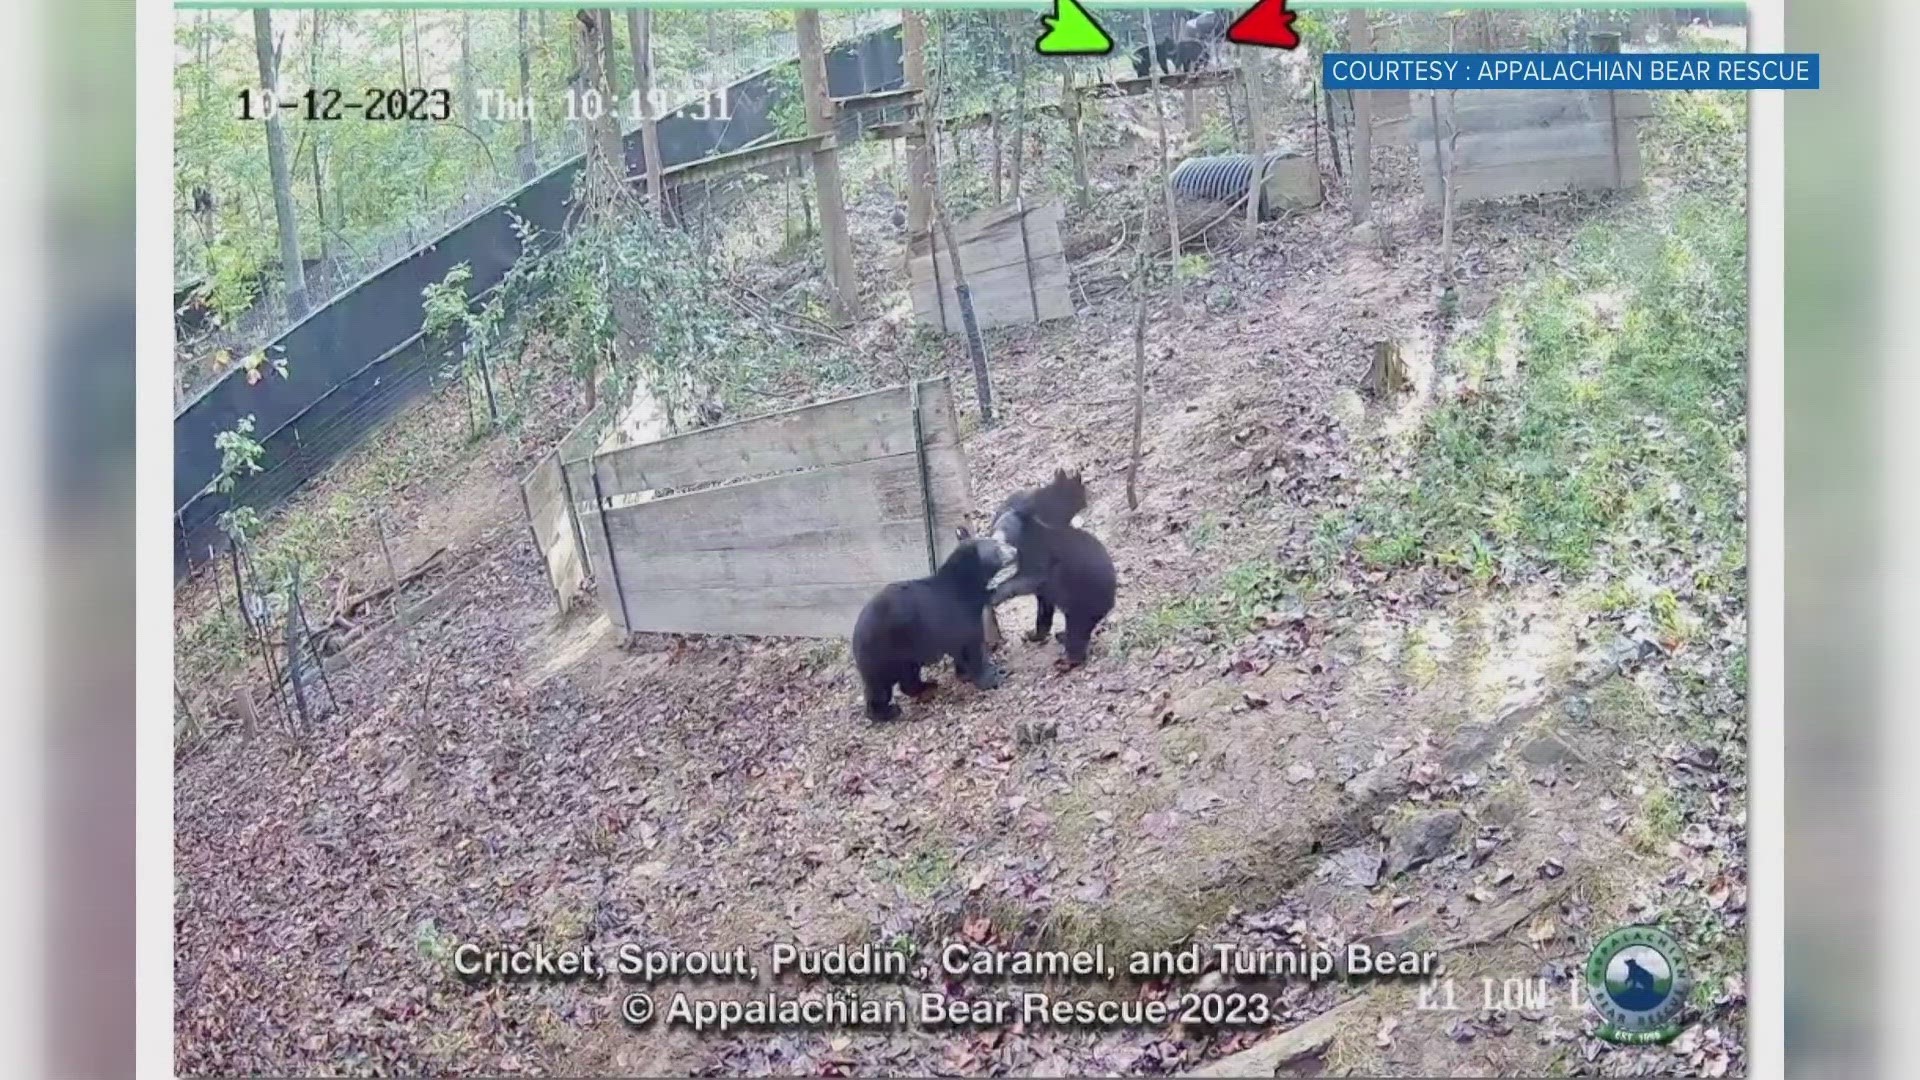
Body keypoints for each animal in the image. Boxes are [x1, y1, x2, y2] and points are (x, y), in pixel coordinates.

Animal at [851, 526, 1016, 721]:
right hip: (881, 652)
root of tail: (855, 632)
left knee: (908, 675)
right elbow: (972, 646)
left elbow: (960, 650)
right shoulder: (959, 614)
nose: (1014, 550)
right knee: (879, 687)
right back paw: (886, 711)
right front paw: (992, 676)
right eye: (997, 546)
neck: (966, 587)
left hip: (905, 653)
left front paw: (965, 673)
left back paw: (927, 686)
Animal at [988, 484, 1117, 669]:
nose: (993, 539)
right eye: (994, 527)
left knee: (1077, 630)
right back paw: (1061, 635)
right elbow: (1043, 607)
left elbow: (1031, 578)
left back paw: (1068, 661)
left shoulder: (1039, 554)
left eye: (1003, 530)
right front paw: (1032, 634)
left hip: (1083, 599)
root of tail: (1110, 599)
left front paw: (995, 593)